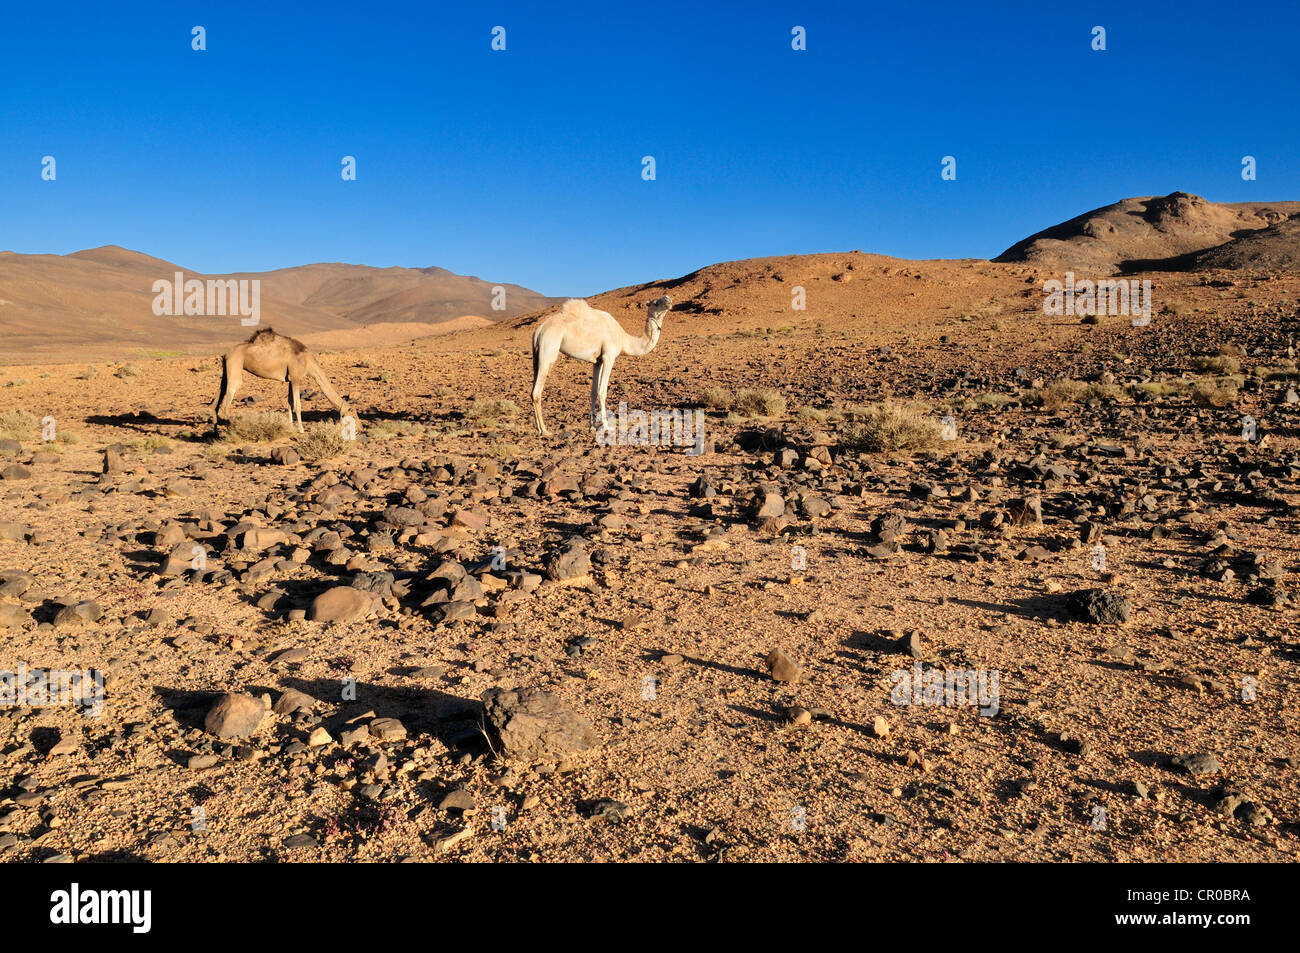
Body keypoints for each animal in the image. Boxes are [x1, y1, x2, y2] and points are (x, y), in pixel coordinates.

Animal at [211, 328, 352, 433]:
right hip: (235, 367)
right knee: (226, 402)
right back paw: (233, 428)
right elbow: (297, 406)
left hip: (225, 373)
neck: (308, 362)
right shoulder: (295, 378)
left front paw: (290, 427)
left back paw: (216, 433)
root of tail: (226, 354)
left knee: (216, 403)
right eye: (351, 413)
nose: (356, 426)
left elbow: (289, 403)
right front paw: (301, 430)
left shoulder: (290, 379)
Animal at [530, 295, 672, 436]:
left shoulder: (597, 361)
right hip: (548, 351)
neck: (624, 340)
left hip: (537, 357)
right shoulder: (608, 357)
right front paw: (606, 426)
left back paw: (539, 429)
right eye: (655, 302)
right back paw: (544, 430)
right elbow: (602, 391)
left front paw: (592, 426)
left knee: (533, 390)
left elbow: (593, 392)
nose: (668, 300)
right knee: (537, 391)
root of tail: (538, 331)